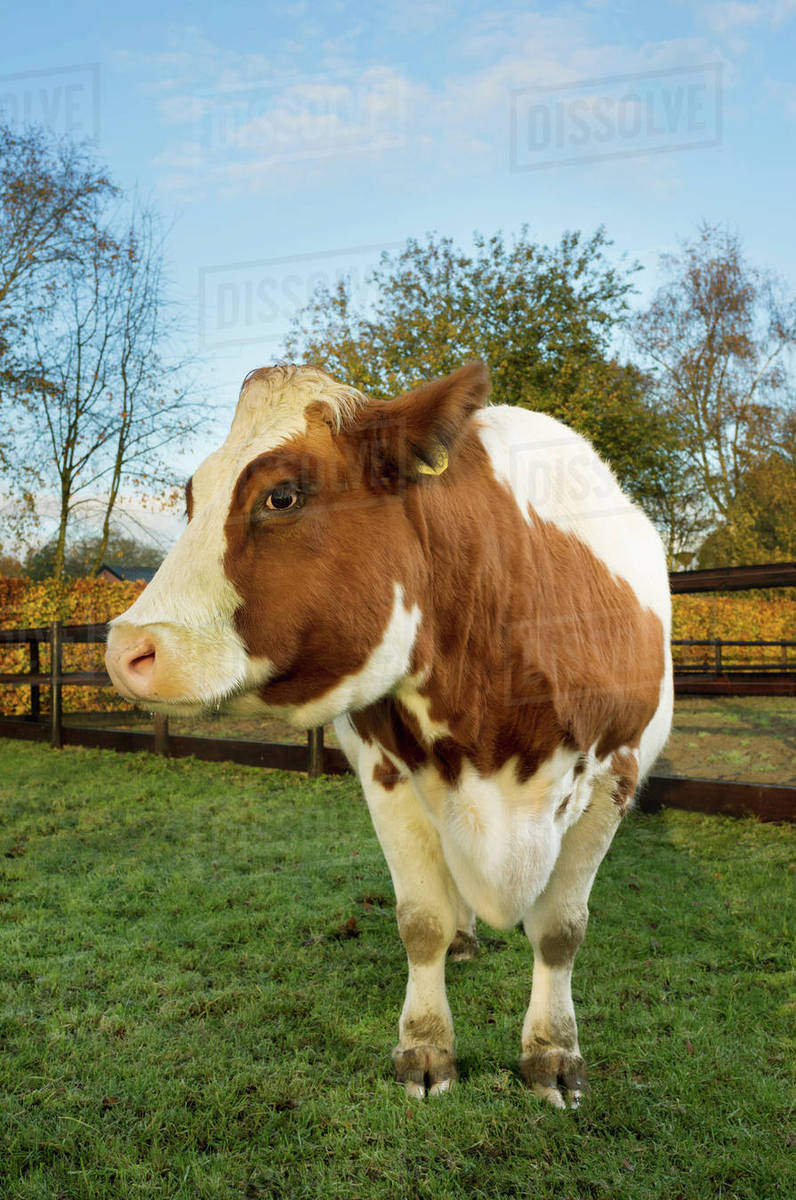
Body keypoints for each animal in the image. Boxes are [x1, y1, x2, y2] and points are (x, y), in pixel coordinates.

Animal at [105, 361, 672, 1108]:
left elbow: (560, 930)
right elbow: (422, 919)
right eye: (192, 497)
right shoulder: (387, 773)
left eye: (281, 495)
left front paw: (553, 1054)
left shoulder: (614, 776)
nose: (125, 649)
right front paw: (426, 1049)